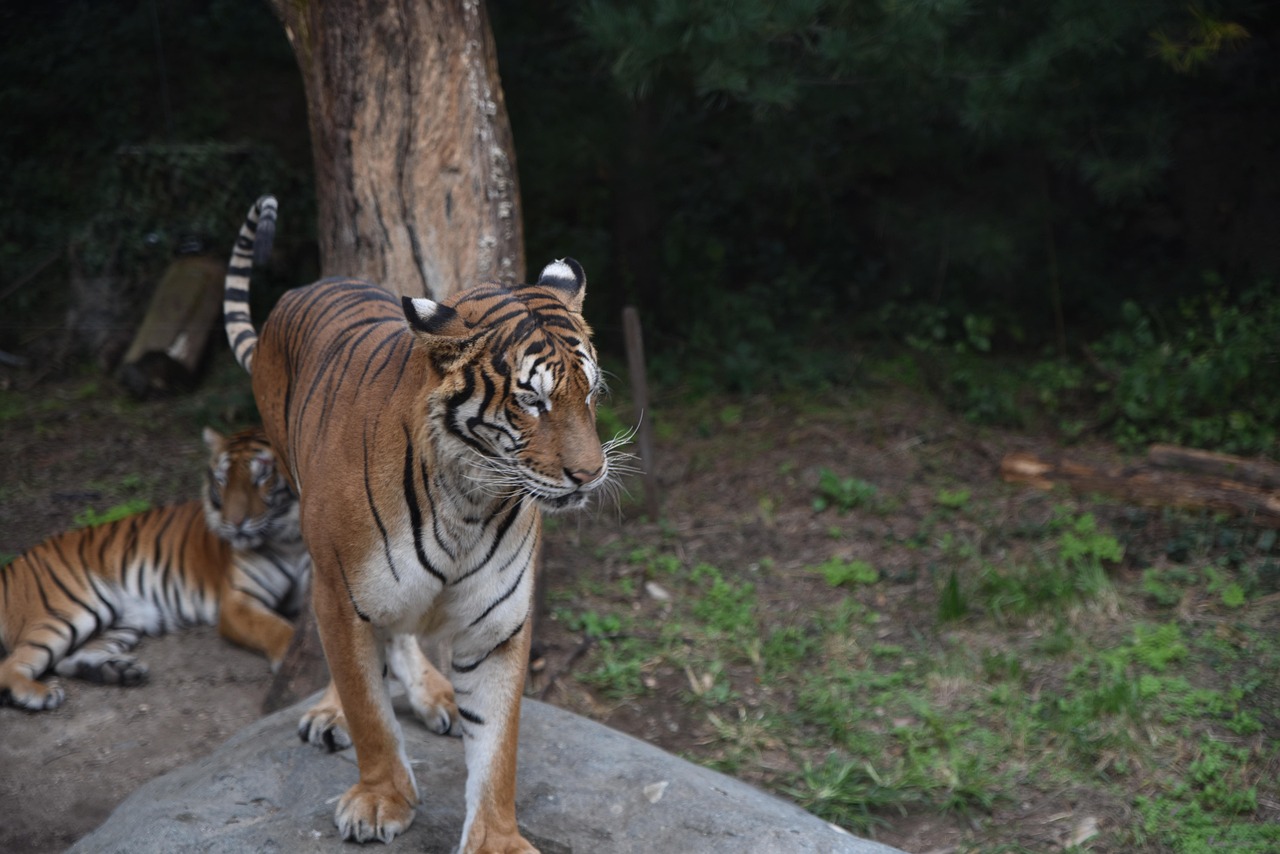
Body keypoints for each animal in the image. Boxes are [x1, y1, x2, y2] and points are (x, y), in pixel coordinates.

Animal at [0, 426, 309, 711]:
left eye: (262, 478)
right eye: (222, 480)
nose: (234, 523)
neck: (289, 541)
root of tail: (11, 566)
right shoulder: (237, 603)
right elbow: (275, 627)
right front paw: (288, 658)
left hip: (122, 619)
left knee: (67, 660)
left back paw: (117, 671)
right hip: (71, 609)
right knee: (10, 665)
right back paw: (38, 694)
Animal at [223, 195, 615, 852]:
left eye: (590, 393)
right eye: (532, 401)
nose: (589, 474)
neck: (470, 502)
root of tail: (311, 284)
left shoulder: (497, 625)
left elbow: (498, 747)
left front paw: (496, 839)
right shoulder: (342, 595)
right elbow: (369, 711)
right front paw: (382, 799)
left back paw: (438, 695)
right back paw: (333, 712)